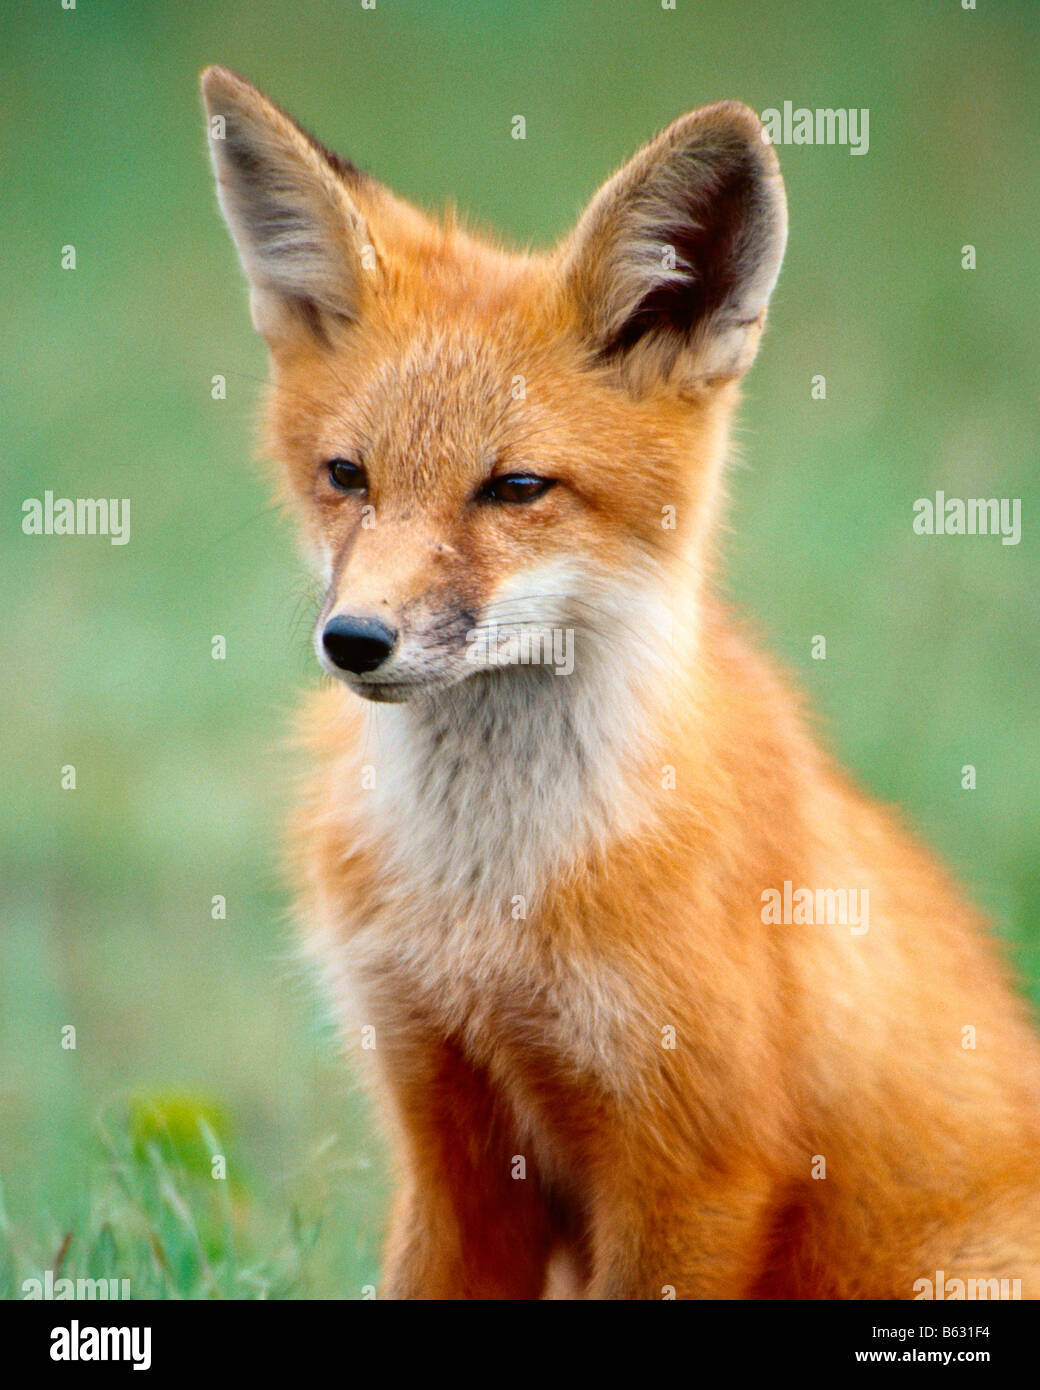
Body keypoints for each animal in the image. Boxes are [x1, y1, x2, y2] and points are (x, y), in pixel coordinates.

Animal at [201, 66, 1040, 1300]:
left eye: (515, 488)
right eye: (347, 477)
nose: (355, 640)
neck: (487, 911)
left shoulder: (695, 1169)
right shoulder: (442, 1127)